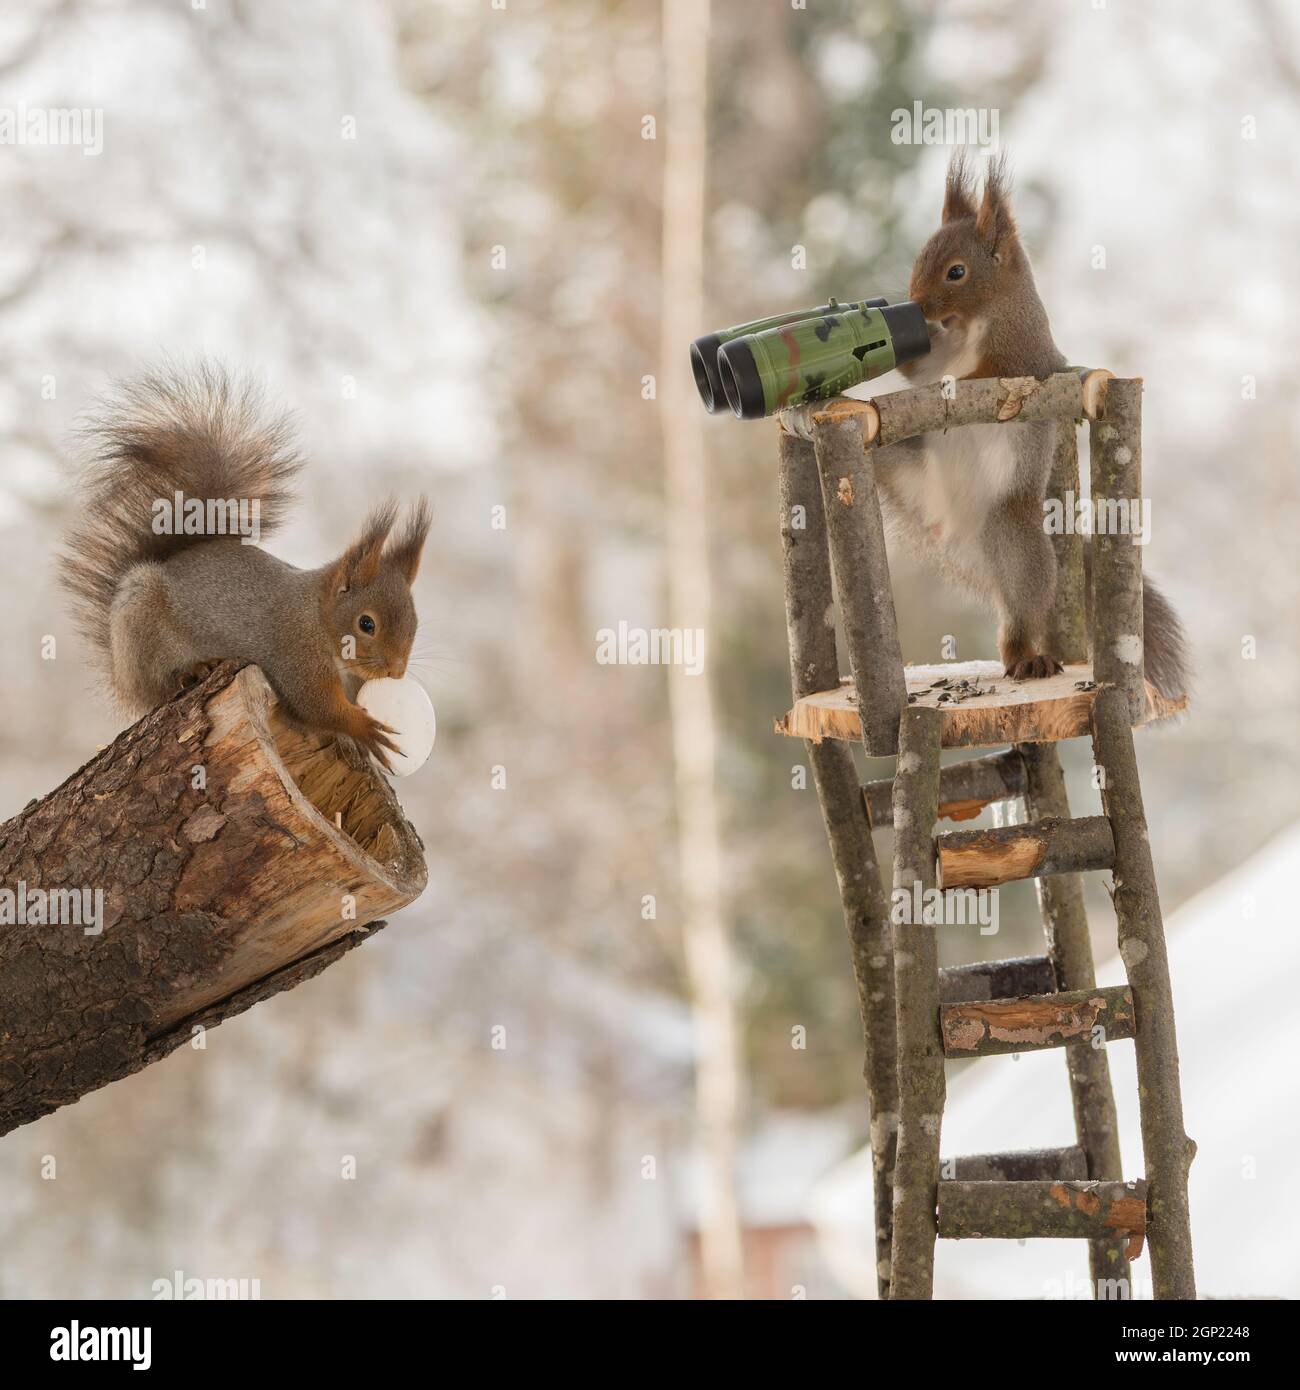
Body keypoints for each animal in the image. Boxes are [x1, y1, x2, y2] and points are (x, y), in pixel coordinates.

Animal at [59, 363, 431, 771]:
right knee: (155, 689)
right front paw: (364, 730)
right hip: (141, 624)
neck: (317, 616)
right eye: (366, 624)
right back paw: (188, 672)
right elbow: (316, 706)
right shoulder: (295, 655)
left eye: (416, 622)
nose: (396, 671)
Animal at [873, 150, 1188, 697]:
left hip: (1012, 532)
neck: (964, 328)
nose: (918, 303)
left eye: (957, 272)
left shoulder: (1022, 357)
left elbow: (988, 378)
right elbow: (914, 373)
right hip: (905, 469)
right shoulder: (930, 361)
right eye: (918, 259)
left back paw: (1025, 657)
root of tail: (955, 531)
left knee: (1023, 602)